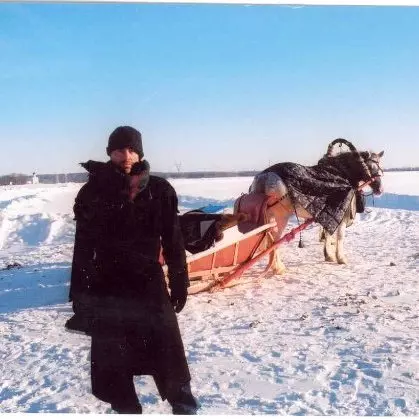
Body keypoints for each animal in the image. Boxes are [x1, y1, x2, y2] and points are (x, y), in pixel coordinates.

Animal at [235, 148, 386, 276]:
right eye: (371, 166)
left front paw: (329, 255)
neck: (340, 174)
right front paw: (341, 258)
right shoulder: (340, 217)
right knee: (274, 241)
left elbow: (328, 234)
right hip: (281, 217)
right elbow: (339, 237)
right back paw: (278, 268)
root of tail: (264, 177)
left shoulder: (329, 215)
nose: (380, 189)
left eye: (380, 166)